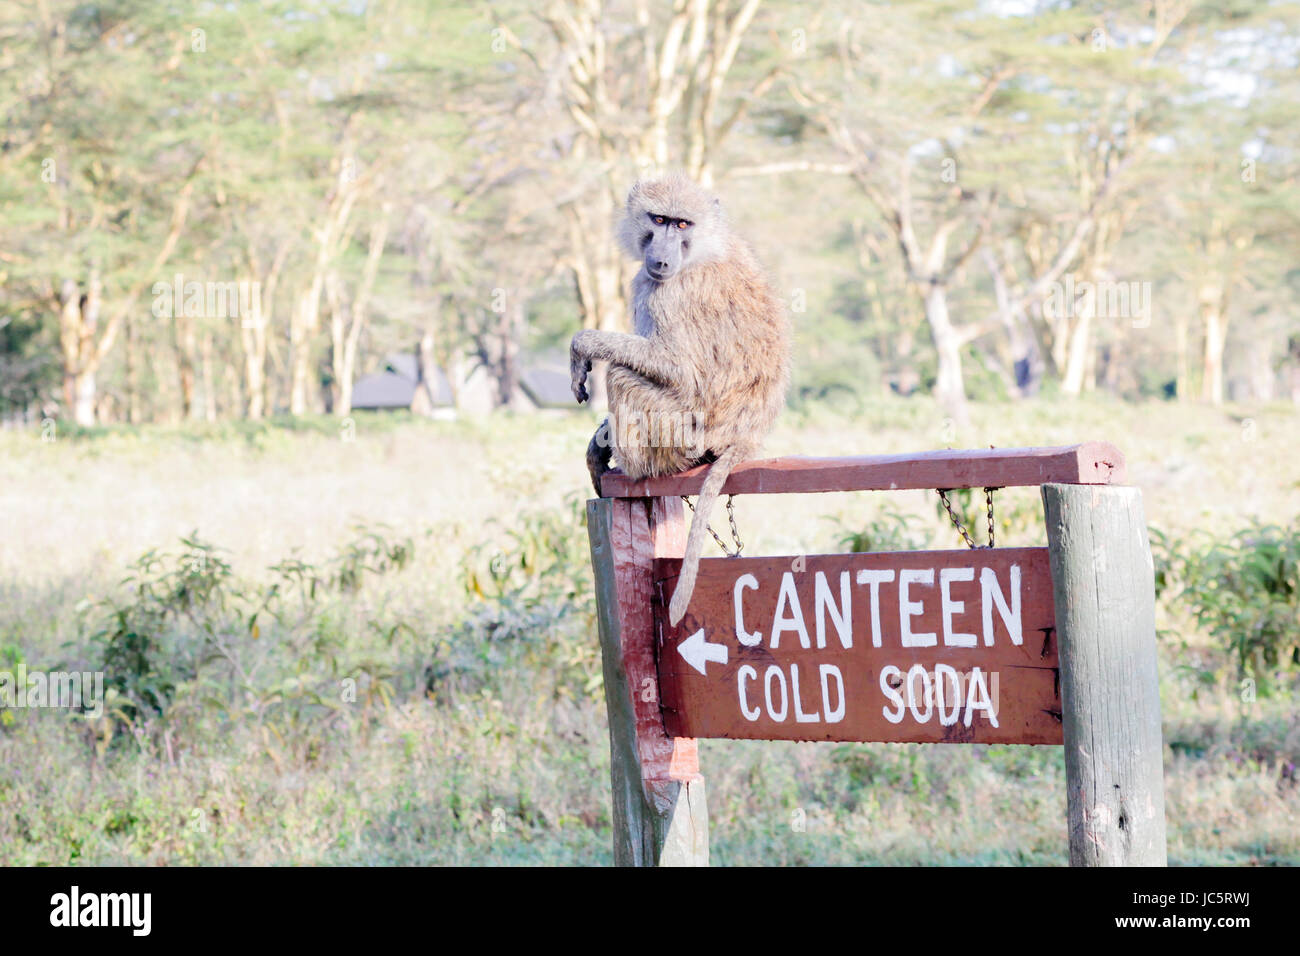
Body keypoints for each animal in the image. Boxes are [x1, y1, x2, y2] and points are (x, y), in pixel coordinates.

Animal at [570, 172, 791, 627]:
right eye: (659, 219)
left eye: (682, 224)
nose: (662, 258)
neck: (703, 248)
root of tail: (744, 438)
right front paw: (599, 439)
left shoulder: (670, 292)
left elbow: (678, 368)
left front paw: (583, 344)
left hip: (682, 434)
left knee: (622, 376)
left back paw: (634, 467)